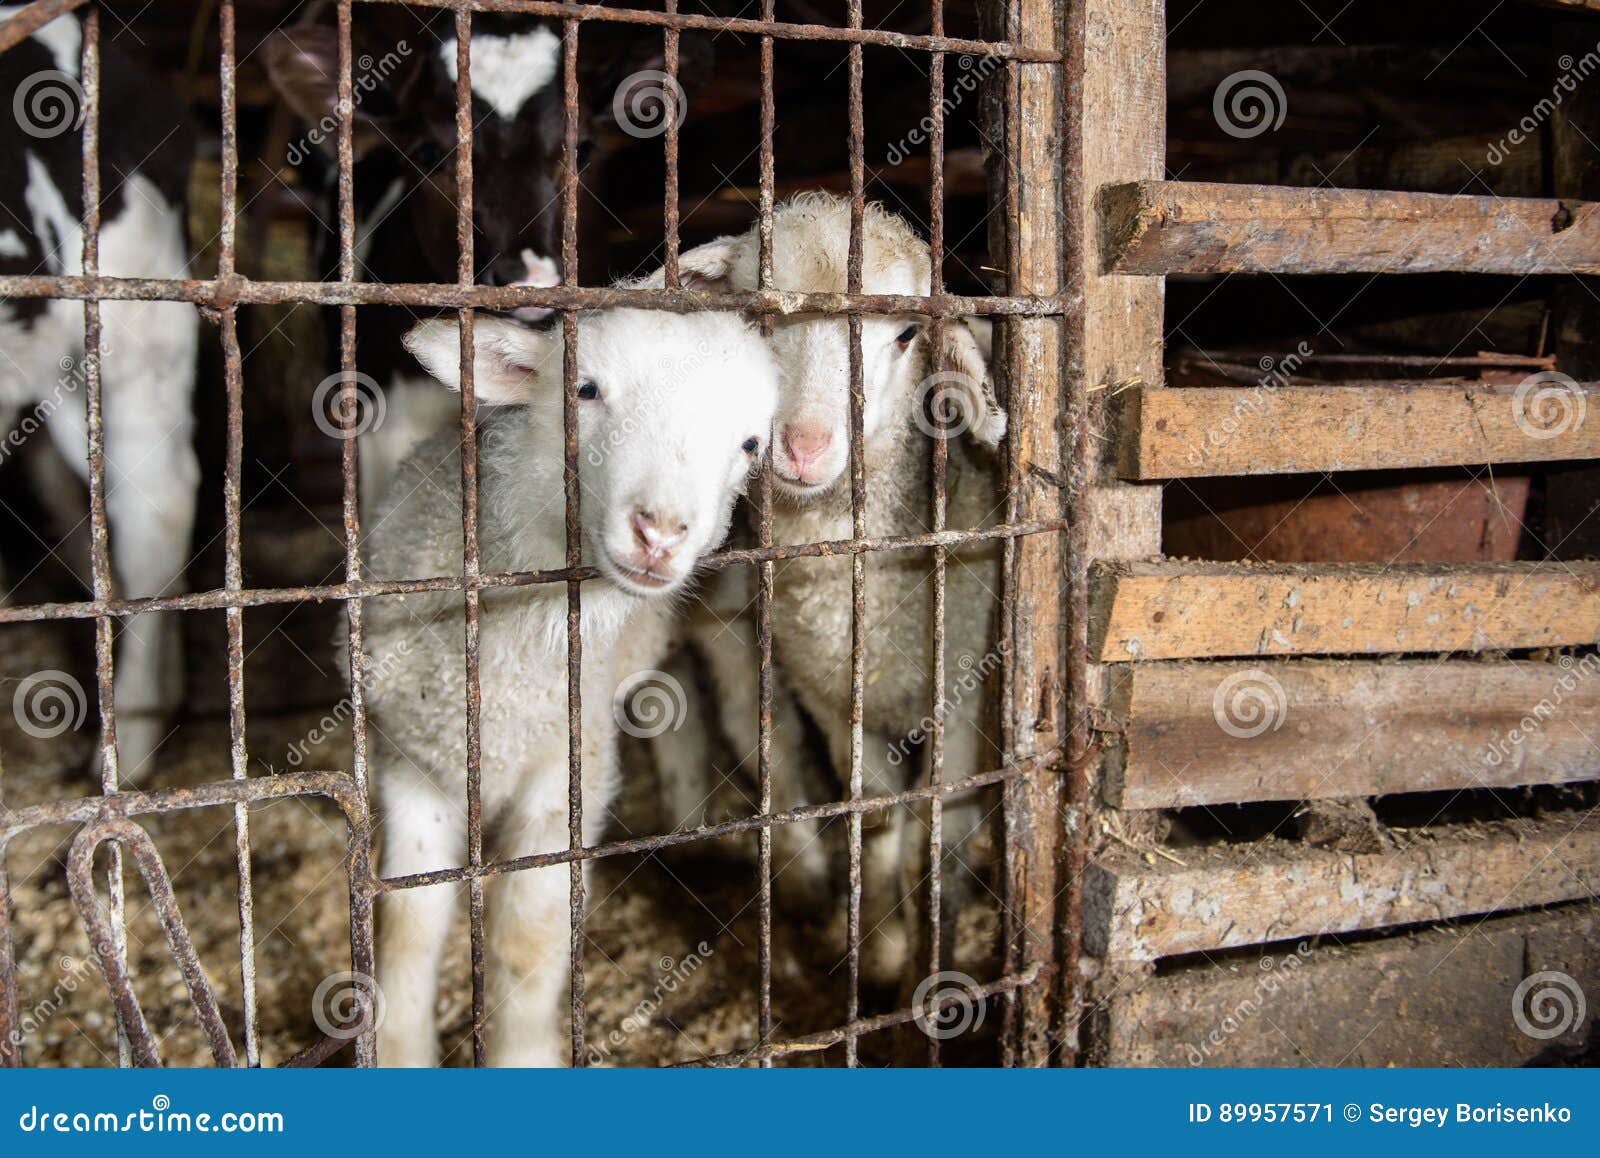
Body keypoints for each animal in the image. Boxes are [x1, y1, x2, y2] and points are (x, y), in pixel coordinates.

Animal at [362, 307, 778, 1066]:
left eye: (749, 443)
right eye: (584, 390)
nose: (661, 532)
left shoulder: (563, 776)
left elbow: (528, 939)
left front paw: (521, 1055)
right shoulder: (412, 763)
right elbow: (406, 923)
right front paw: (400, 1047)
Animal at [654, 193, 1007, 983]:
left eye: (906, 332)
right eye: (756, 316)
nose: (805, 446)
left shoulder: (964, 689)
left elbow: (935, 840)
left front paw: (926, 962)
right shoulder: (825, 693)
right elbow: (871, 810)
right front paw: (877, 947)